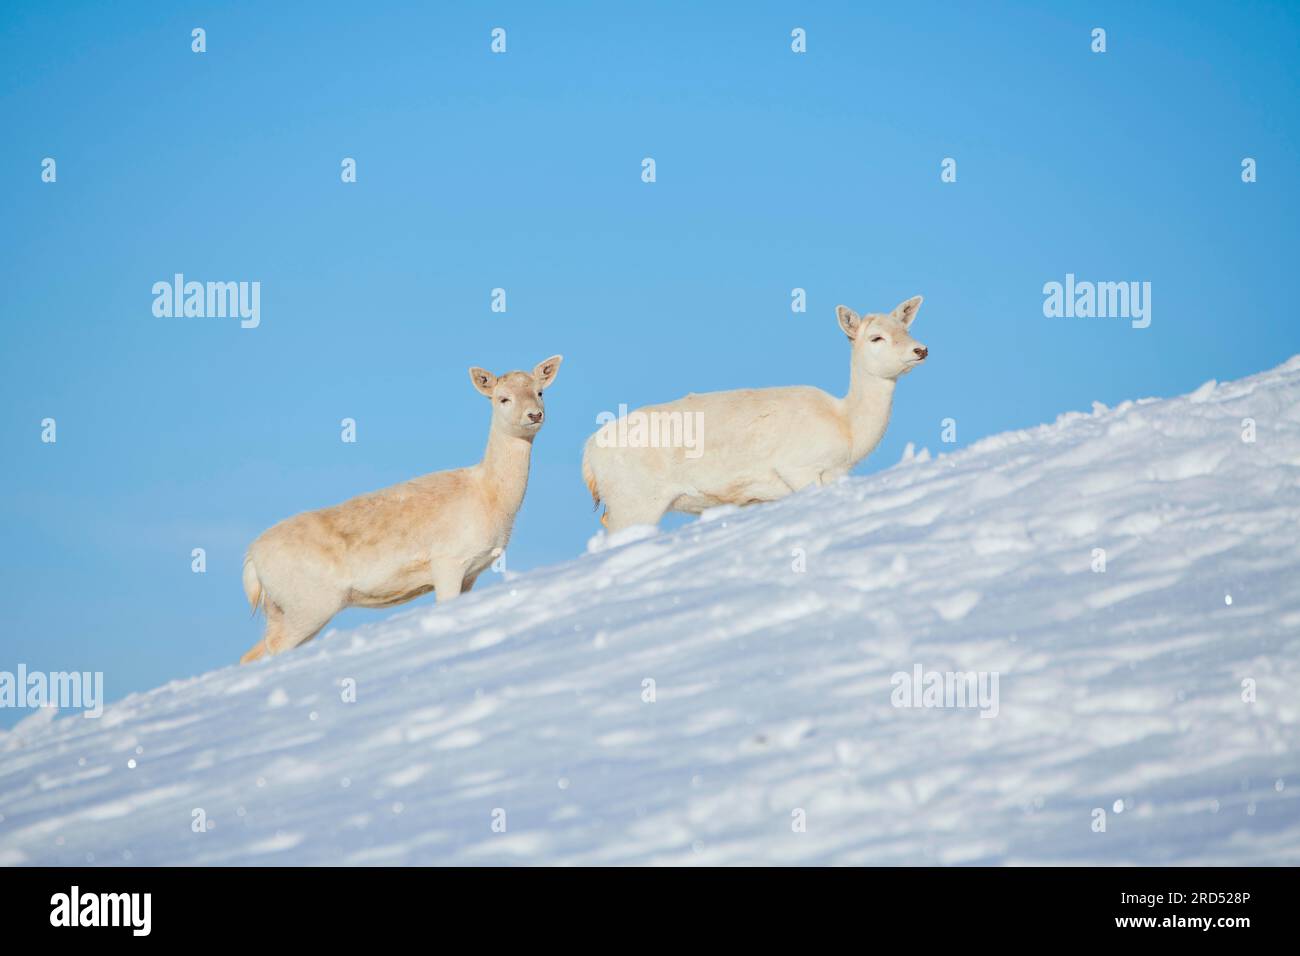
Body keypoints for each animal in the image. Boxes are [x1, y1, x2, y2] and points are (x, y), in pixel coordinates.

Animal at [239, 356, 562, 664]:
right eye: (503, 398)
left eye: (540, 391)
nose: (534, 414)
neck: (492, 497)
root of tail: (252, 560)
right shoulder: (448, 562)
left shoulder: (472, 574)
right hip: (309, 605)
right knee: (275, 647)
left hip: (279, 608)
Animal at [582, 297, 928, 532]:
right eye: (876, 337)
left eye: (906, 327)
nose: (920, 350)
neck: (848, 428)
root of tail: (589, 454)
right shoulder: (798, 467)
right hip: (634, 502)